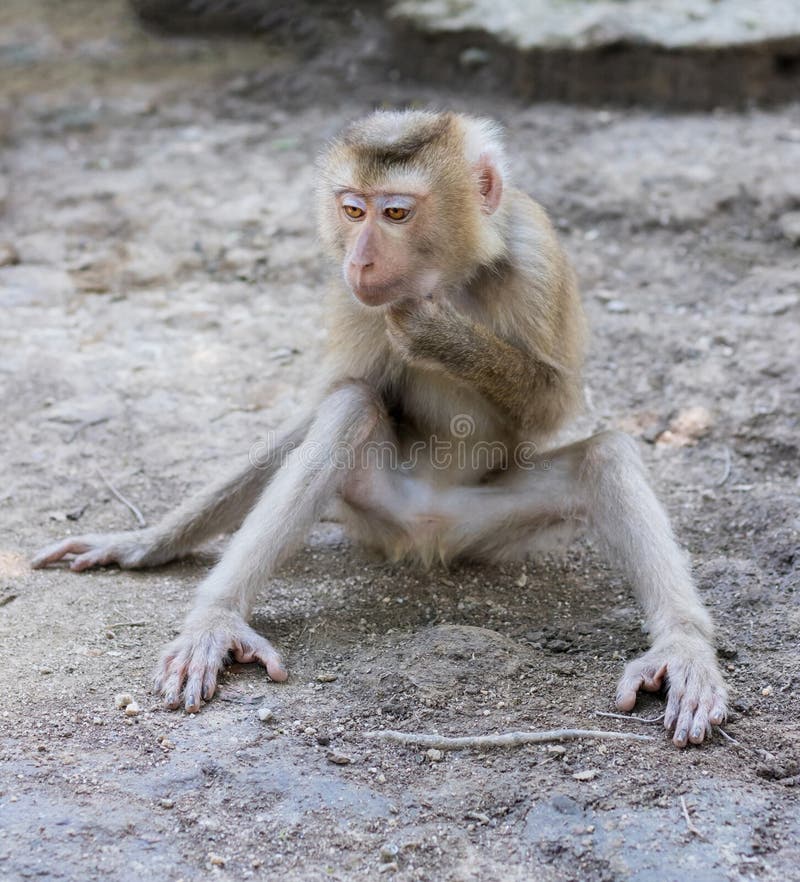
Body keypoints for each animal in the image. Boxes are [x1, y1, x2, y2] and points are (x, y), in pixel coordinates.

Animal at [32, 109, 728, 748]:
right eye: (351, 210)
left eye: (395, 213)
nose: (361, 261)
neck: (451, 278)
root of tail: (426, 534)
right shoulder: (352, 300)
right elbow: (327, 403)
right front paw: (145, 540)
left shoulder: (537, 261)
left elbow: (552, 405)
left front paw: (442, 336)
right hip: (375, 508)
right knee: (350, 410)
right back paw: (216, 622)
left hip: (492, 527)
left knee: (605, 456)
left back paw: (683, 651)